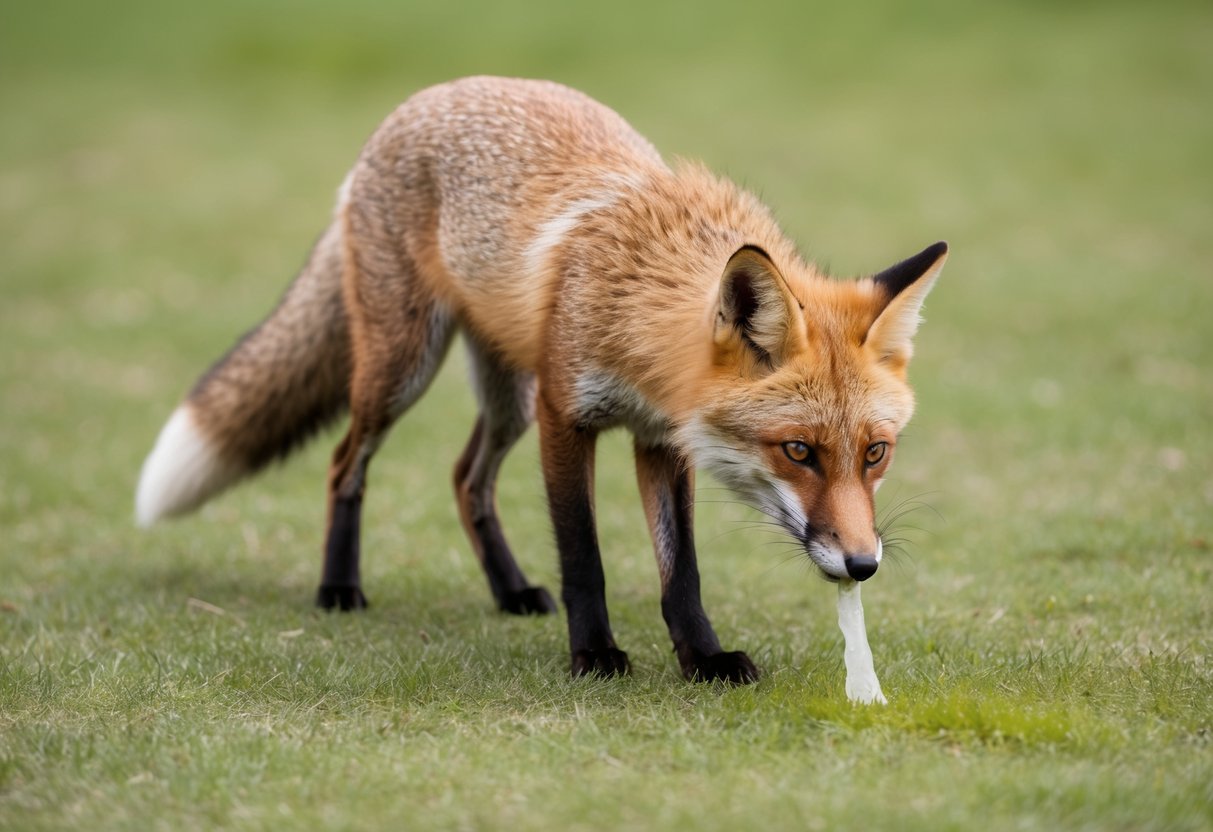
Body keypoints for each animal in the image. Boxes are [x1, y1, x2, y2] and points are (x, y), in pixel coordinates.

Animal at [136, 76, 947, 683]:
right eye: (798, 452)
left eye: (875, 453)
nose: (863, 565)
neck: (637, 298)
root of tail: (431, 93)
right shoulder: (567, 415)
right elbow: (583, 554)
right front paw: (593, 654)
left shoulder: (660, 440)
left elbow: (679, 570)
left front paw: (703, 658)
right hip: (405, 369)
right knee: (344, 464)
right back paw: (339, 587)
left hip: (506, 397)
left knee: (466, 477)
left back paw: (509, 590)